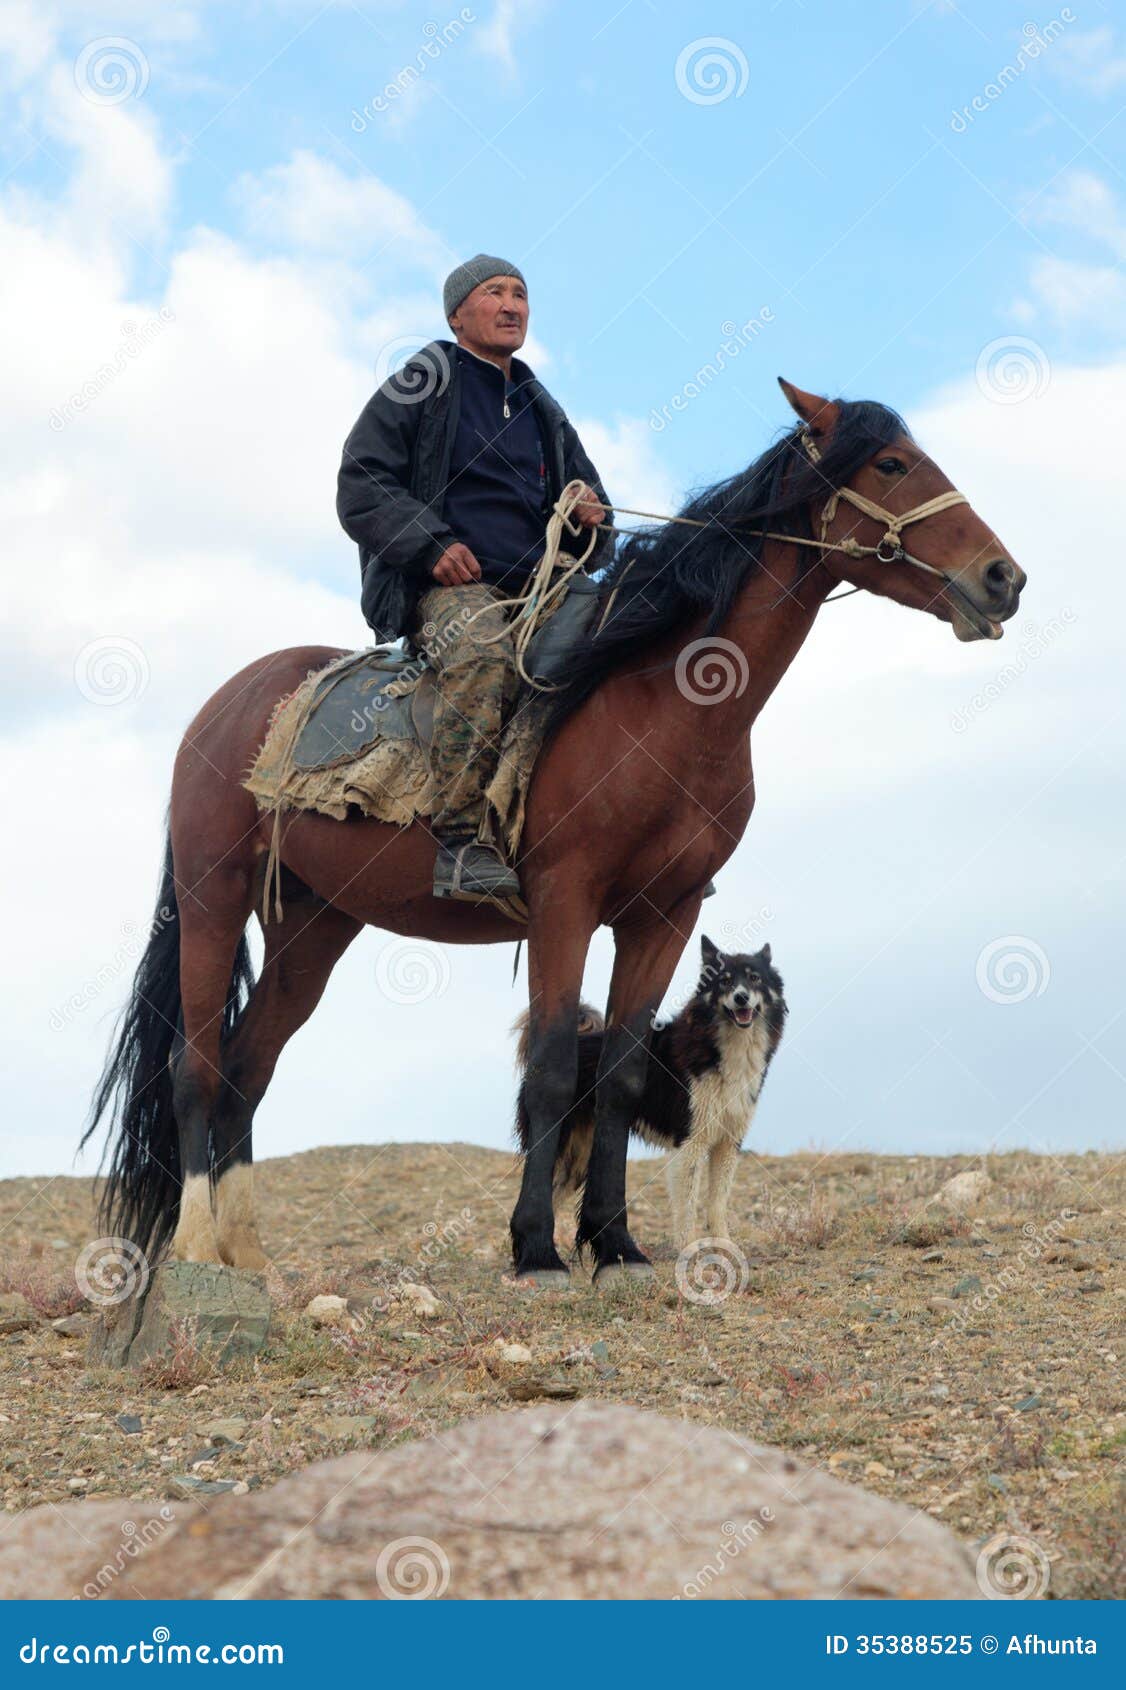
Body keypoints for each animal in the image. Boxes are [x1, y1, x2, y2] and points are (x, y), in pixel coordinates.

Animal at [84, 379, 1026, 1285]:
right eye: (893, 464)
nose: (1002, 577)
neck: (666, 706)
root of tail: (228, 706)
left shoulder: (665, 914)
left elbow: (618, 1074)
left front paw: (615, 1244)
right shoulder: (563, 903)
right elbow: (548, 1068)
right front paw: (536, 1248)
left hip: (313, 926)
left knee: (248, 1070)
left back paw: (250, 1255)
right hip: (213, 900)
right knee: (197, 1068)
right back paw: (199, 1247)